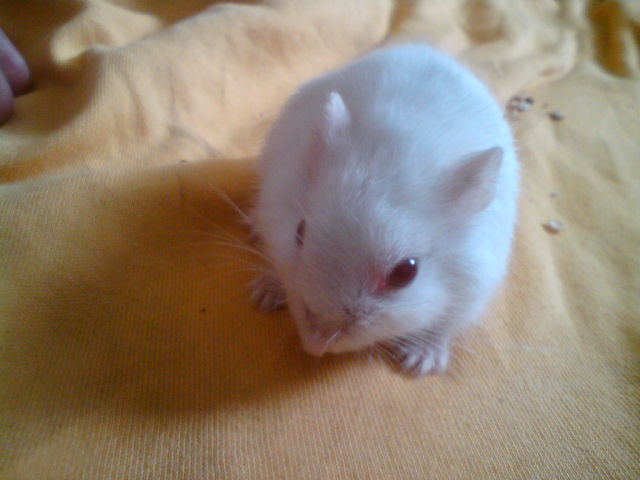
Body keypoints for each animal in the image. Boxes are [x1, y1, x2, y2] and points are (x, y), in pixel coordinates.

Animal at [250, 44, 519, 376]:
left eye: (405, 272)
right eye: (299, 233)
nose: (313, 346)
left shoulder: (472, 289)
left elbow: (444, 325)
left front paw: (419, 363)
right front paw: (262, 293)